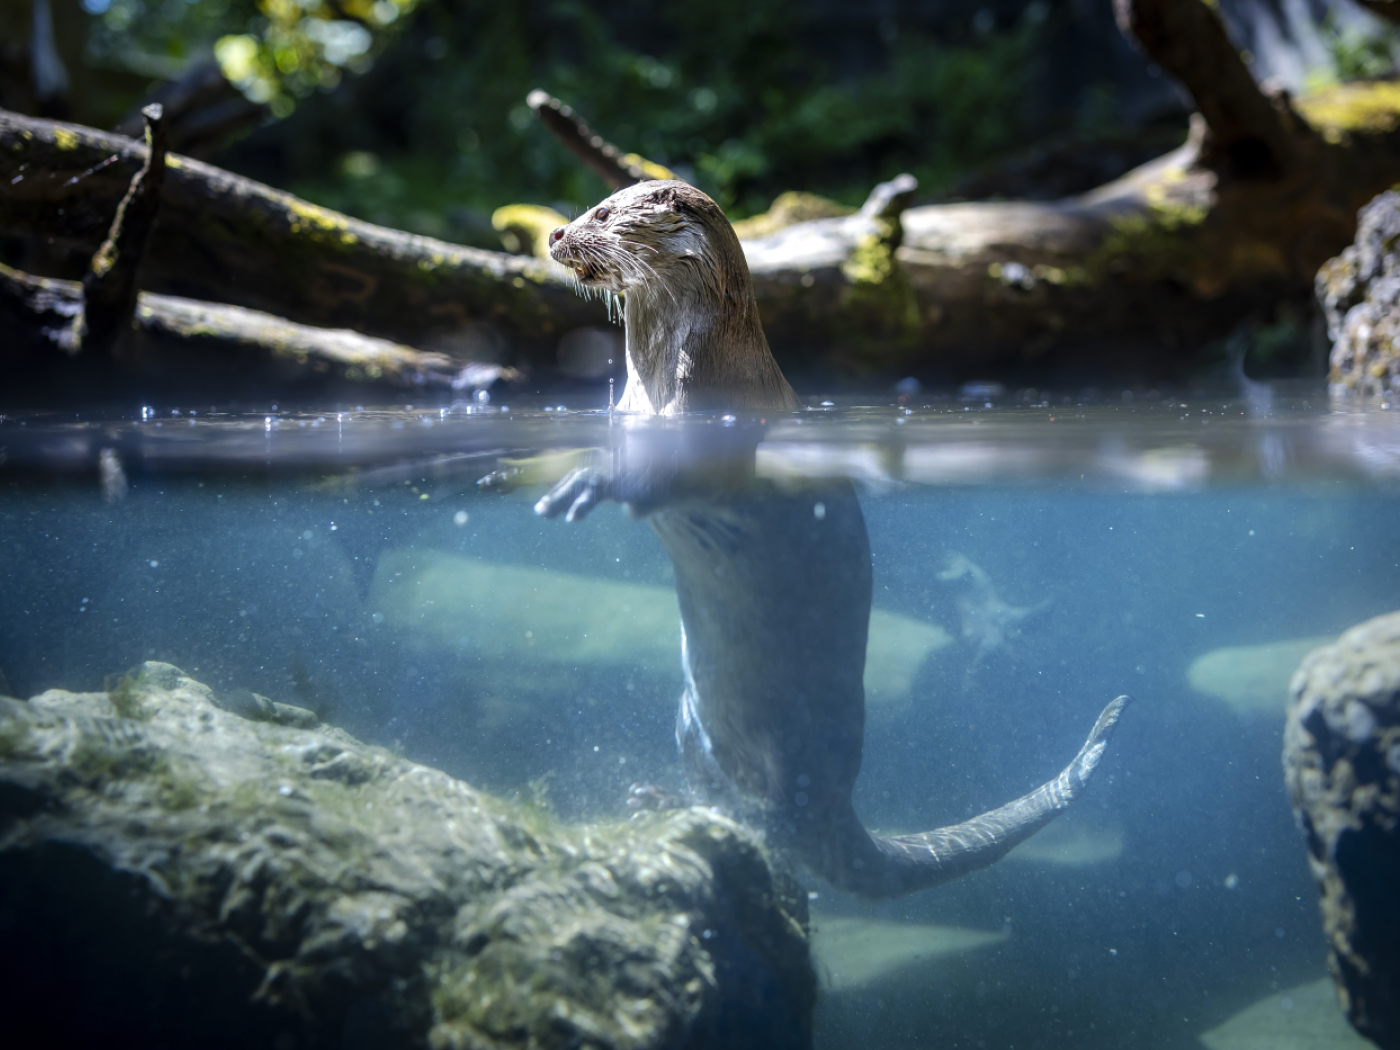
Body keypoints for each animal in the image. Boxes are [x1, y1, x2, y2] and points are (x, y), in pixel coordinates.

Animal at [541, 179, 1128, 897]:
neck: (664, 382)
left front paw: (586, 483)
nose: (554, 234)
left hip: (785, 733)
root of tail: (835, 801)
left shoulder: (706, 437)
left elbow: (664, 483)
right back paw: (660, 800)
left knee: (774, 818)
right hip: (689, 718)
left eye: (601, 214)